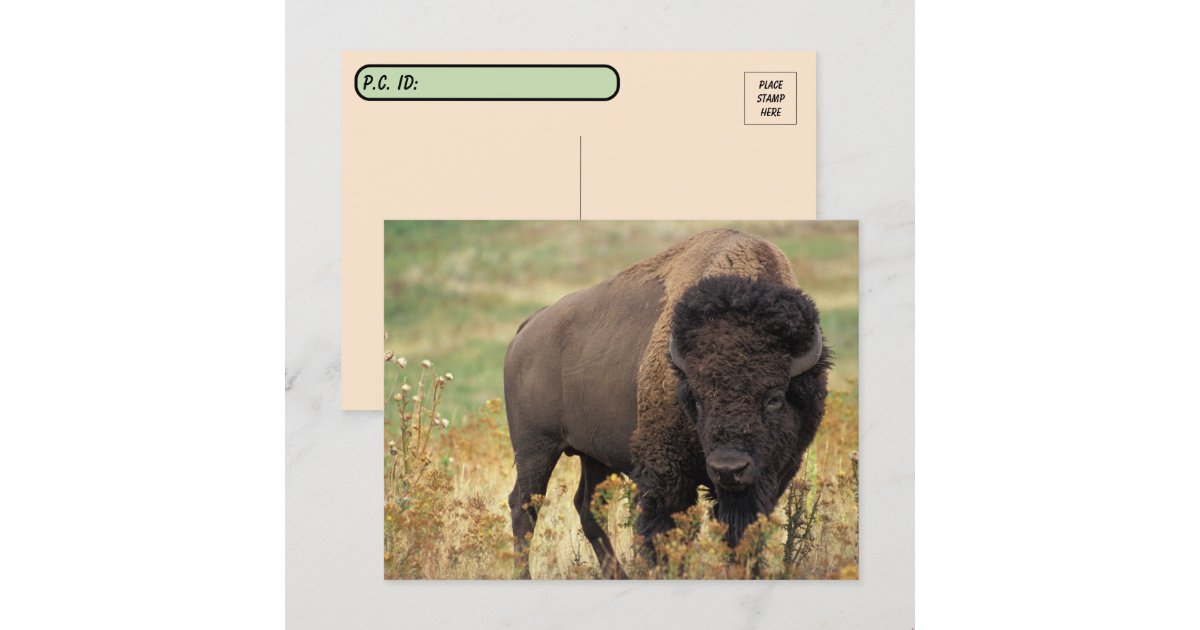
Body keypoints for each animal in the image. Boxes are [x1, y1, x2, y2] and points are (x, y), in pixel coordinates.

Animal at [503, 228, 831, 578]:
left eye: (774, 398)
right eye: (697, 399)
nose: (728, 468)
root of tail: (528, 328)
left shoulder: (772, 475)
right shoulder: (666, 472)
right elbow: (665, 530)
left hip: (593, 455)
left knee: (587, 507)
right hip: (535, 448)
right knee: (525, 505)